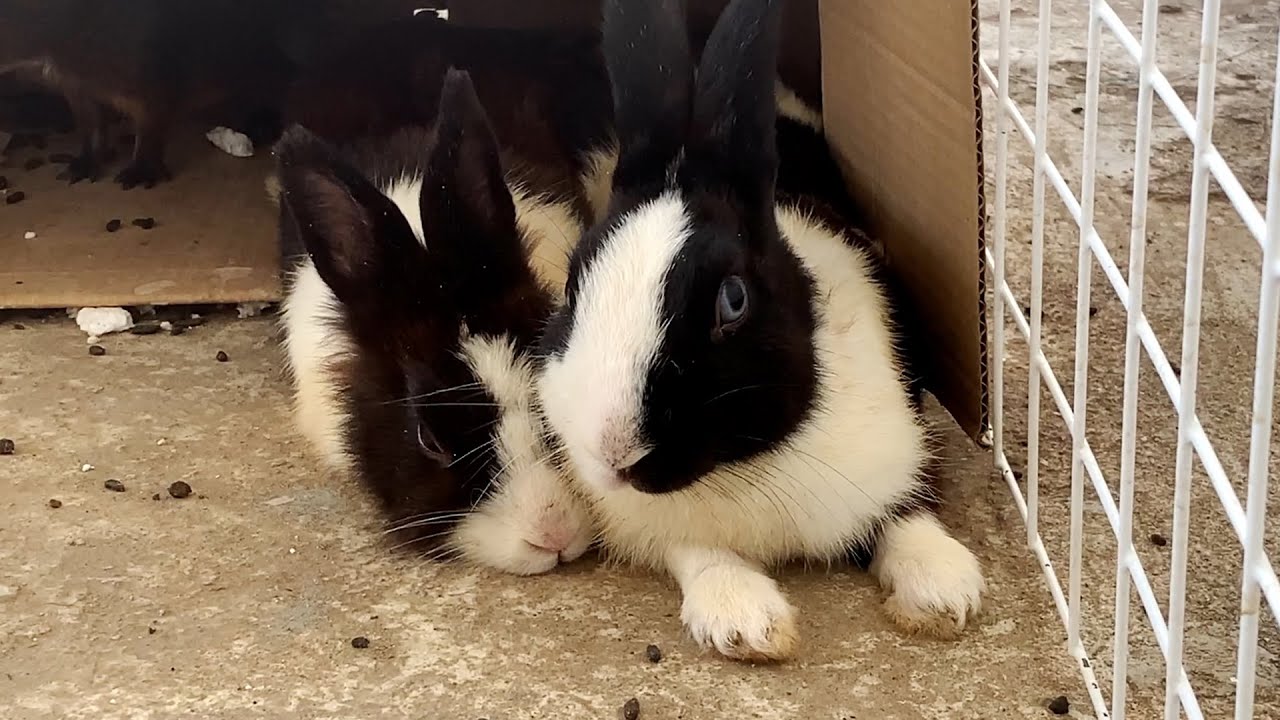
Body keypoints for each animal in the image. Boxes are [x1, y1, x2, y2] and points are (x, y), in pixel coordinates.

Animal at [534, 0, 984, 661]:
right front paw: (747, 623)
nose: (615, 456)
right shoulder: (660, 525)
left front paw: (944, 591)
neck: (746, 465)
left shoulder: (903, 439)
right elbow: (702, 553)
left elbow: (909, 509)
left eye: (734, 300)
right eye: (572, 287)